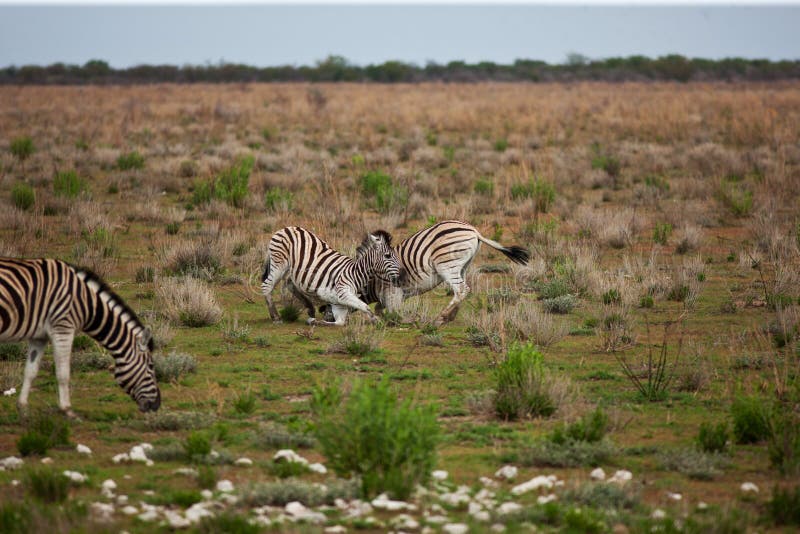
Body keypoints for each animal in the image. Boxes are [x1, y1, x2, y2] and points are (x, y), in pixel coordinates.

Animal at [0, 258, 161, 417]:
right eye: (150, 366)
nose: (157, 405)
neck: (87, 301)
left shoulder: (39, 337)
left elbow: (30, 371)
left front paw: (22, 408)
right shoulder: (63, 328)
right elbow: (63, 373)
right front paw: (67, 409)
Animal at [260, 227, 403, 326]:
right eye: (387, 256)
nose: (402, 275)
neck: (355, 273)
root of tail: (285, 228)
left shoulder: (338, 303)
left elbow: (339, 322)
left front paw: (314, 321)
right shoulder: (343, 293)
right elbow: (365, 306)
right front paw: (376, 320)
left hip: (292, 269)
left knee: (289, 283)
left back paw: (310, 308)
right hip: (280, 264)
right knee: (267, 286)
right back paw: (276, 318)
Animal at [342, 220, 530, 325]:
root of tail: (474, 231)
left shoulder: (392, 290)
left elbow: (391, 310)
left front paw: (397, 320)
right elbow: (381, 308)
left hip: (446, 265)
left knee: (461, 290)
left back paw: (440, 318)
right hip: (463, 265)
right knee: (462, 291)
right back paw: (450, 316)